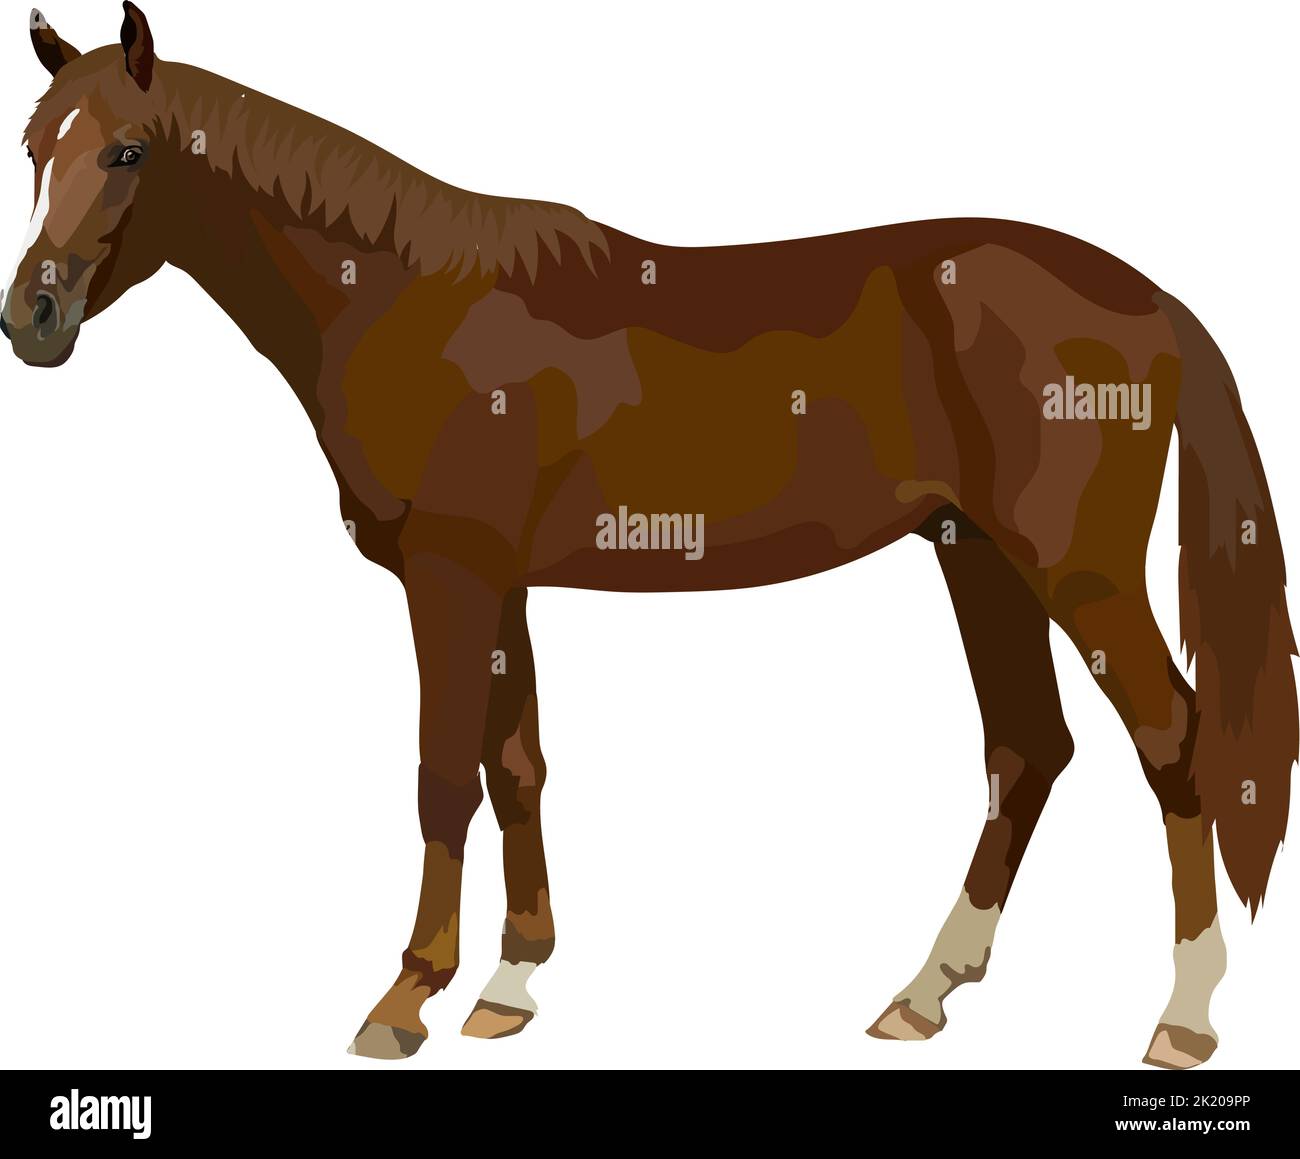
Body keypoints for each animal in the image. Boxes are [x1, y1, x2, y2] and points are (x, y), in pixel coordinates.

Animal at [4, 5, 1295, 1068]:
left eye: (127, 151)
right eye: (32, 147)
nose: (33, 316)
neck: (410, 302)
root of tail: (1152, 303)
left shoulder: (448, 573)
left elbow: (443, 776)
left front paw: (404, 998)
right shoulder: (500, 582)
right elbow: (516, 763)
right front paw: (510, 984)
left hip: (1073, 568)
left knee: (1169, 741)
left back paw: (1181, 1018)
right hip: (973, 554)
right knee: (1027, 748)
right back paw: (924, 992)